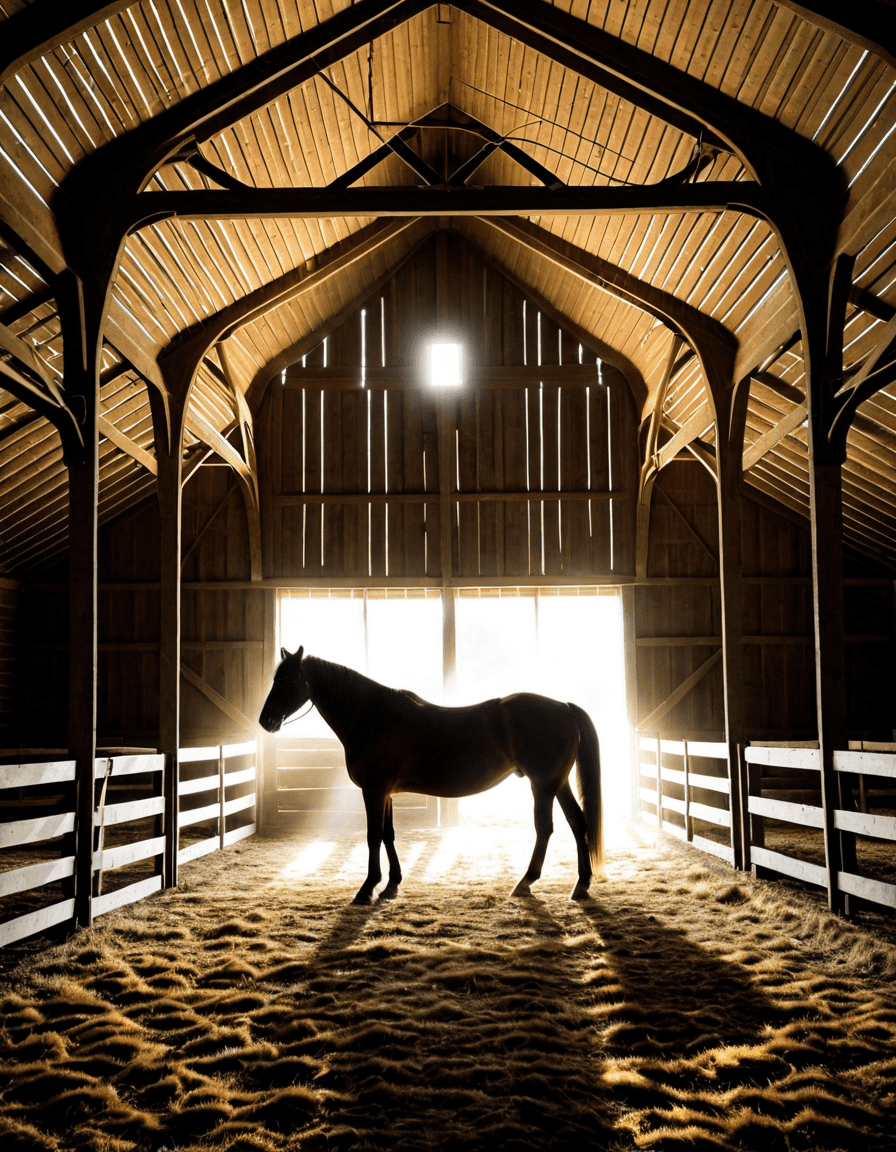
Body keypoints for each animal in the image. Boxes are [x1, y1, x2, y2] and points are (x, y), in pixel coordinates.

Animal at [259, 647, 603, 905]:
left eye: (288, 680)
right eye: (274, 677)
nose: (266, 721)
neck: (371, 716)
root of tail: (564, 707)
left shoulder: (373, 790)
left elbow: (372, 836)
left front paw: (367, 888)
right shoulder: (386, 792)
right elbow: (388, 834)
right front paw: (392, 885)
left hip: (542, 784)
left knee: (545, 829)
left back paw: (526, 882)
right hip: (558, 782)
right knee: (578, 823)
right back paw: (581, 885)